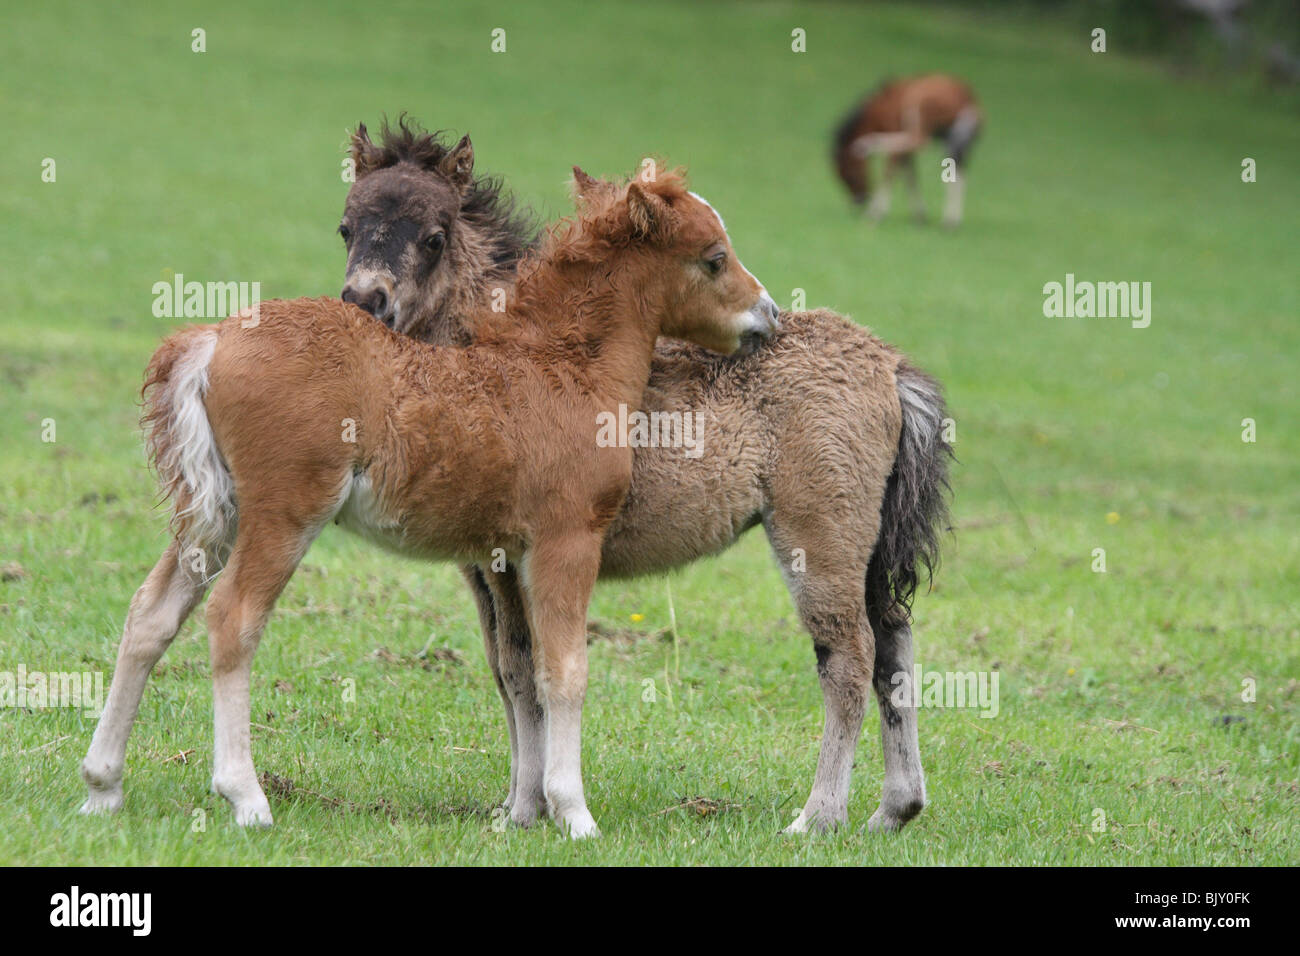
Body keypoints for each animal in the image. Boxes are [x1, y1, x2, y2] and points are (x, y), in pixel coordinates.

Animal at [79, 161, 780, 839]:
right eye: (714, 257)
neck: (566, 370)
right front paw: (574, 813)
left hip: (216, 517)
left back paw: (102, 785)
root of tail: (211, 341)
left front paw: (524, 811)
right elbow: (564, 673)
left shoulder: (507, 557)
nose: (770, 314)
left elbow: (521, 672)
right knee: (233, 618)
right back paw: (245, 797)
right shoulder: (567, 540)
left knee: (150, 615)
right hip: (284, 513)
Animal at [339, 119, 953, 834]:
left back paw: (817, 818)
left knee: (850, 658)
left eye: (434, 237)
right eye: (346, 228)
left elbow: (535, 670)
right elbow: (510, 669)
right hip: (867, 545)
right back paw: (893, 810)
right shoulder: (491, 565)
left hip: (820, 536)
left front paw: (538, 808)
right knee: (894, 645)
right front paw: (519, 807)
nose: (365, 302)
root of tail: (890, 365)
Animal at [832, 73, 982, 226]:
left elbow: (889, 173)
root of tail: (967, 98)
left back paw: (868, 144)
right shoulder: (906, 153)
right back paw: (951, 221)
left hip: (918, 103)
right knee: (958, 171)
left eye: (849, 174)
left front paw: (875, 214)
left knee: (919, 139)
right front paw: (919, 215)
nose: (859, 200)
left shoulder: (895, 134)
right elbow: (910, 177)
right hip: (955, 141)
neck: (879, 108)